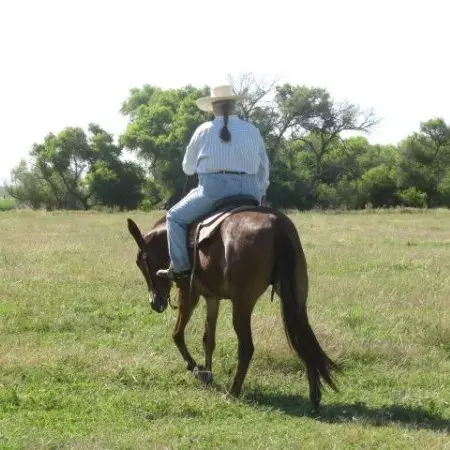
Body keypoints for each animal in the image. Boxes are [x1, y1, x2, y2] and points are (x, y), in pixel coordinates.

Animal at [126, 202, 338, 410]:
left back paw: (233, 392)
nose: (155, 303)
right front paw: (207, 372)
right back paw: (314, 397)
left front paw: (196, 369)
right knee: (304, 338)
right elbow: (208, 339)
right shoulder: (212, 298)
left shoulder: (188, 293)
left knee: (247, 347)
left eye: (140, 261)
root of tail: (278, 226)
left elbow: (177, 334)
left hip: (242, 305)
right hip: (297, 299)